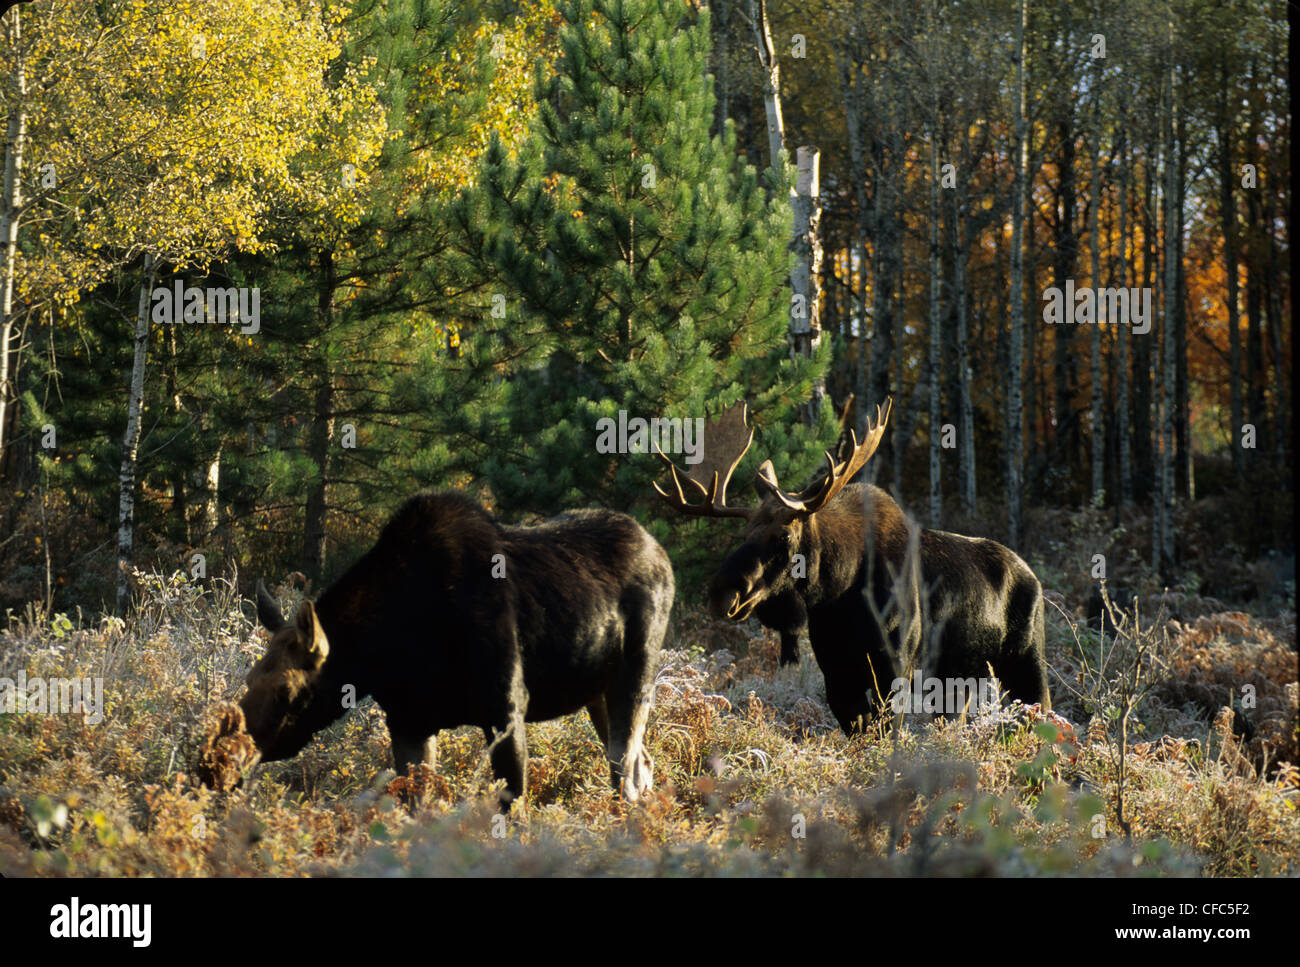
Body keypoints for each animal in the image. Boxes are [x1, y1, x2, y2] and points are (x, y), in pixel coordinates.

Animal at [224, 491, 674, 805]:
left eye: (289, 691)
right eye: (250, 677)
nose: (226, 763)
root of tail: (663, 556)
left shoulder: (506, 709)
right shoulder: (408, 721)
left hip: (635, 675)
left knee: (625, 768)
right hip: (596, 689)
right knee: (642, 763)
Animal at [654, 399, 1050, 735]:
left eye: (784, 537)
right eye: (743, 533)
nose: (722, 595)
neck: (837, 595)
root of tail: (1034, 577)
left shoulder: (896, 667)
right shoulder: (837, 672)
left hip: (1025, 659)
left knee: (1041, 715)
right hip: (962, 676)